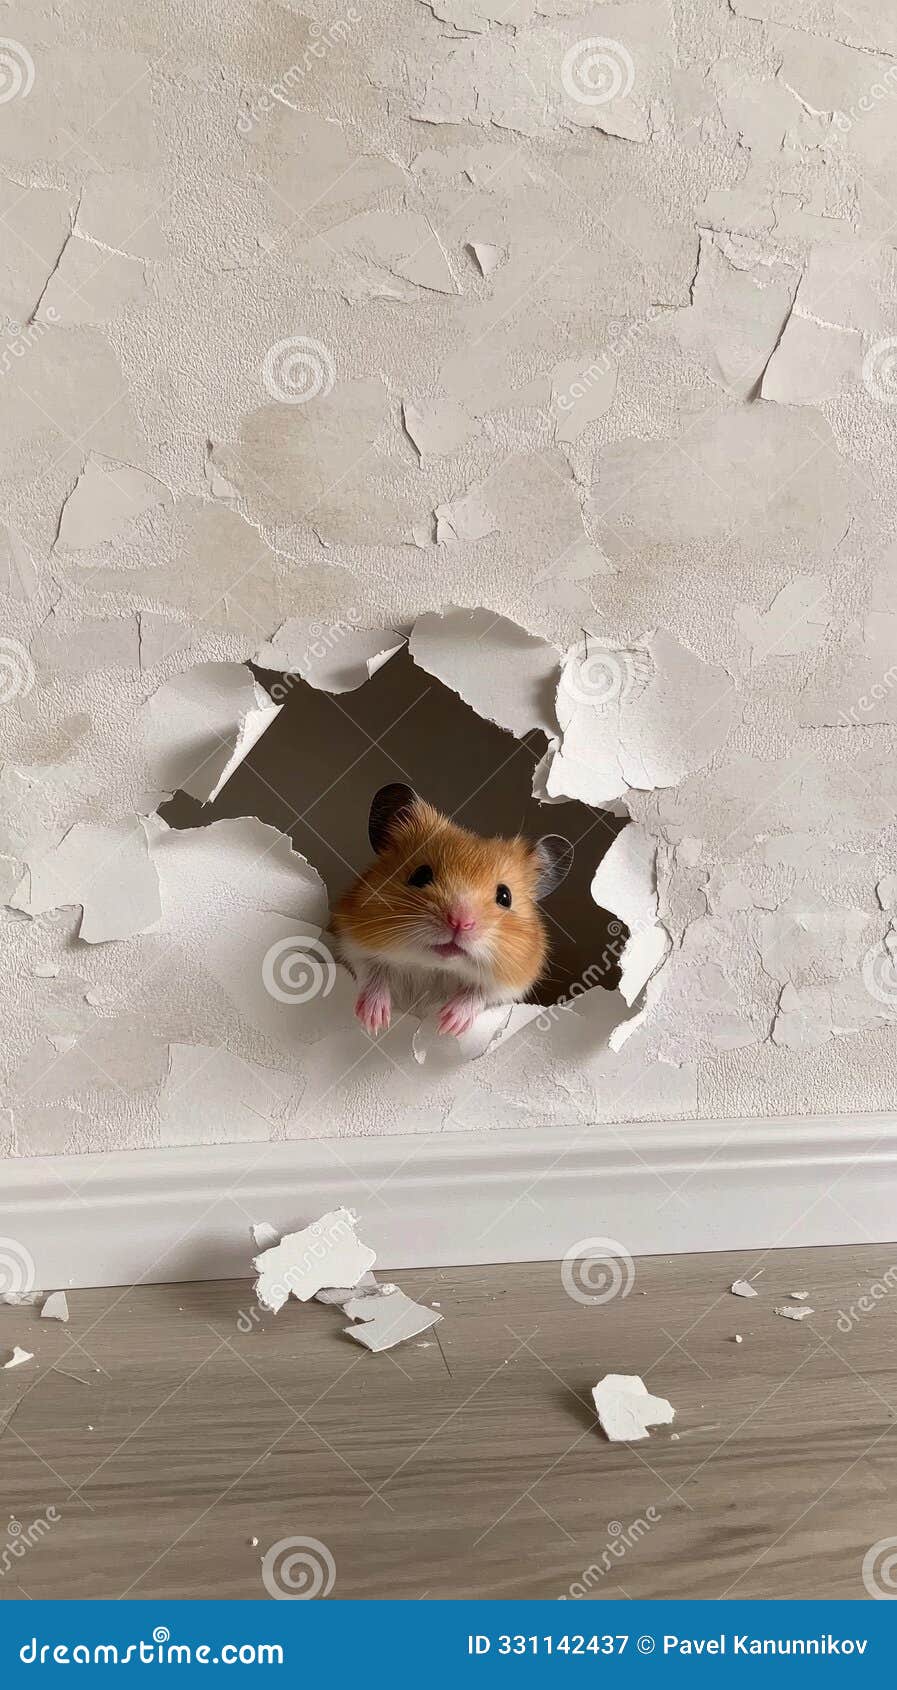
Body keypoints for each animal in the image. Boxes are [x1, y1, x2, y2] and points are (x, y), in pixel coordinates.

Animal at [331, 783, 574, 1038]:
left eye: (505, 896)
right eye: (420, 875)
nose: (460, 923)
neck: (434, 967)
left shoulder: (509, 986)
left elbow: (479, 994)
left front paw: (447, 1025)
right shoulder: (351, 943)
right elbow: (372, 971)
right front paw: (374, 1021)